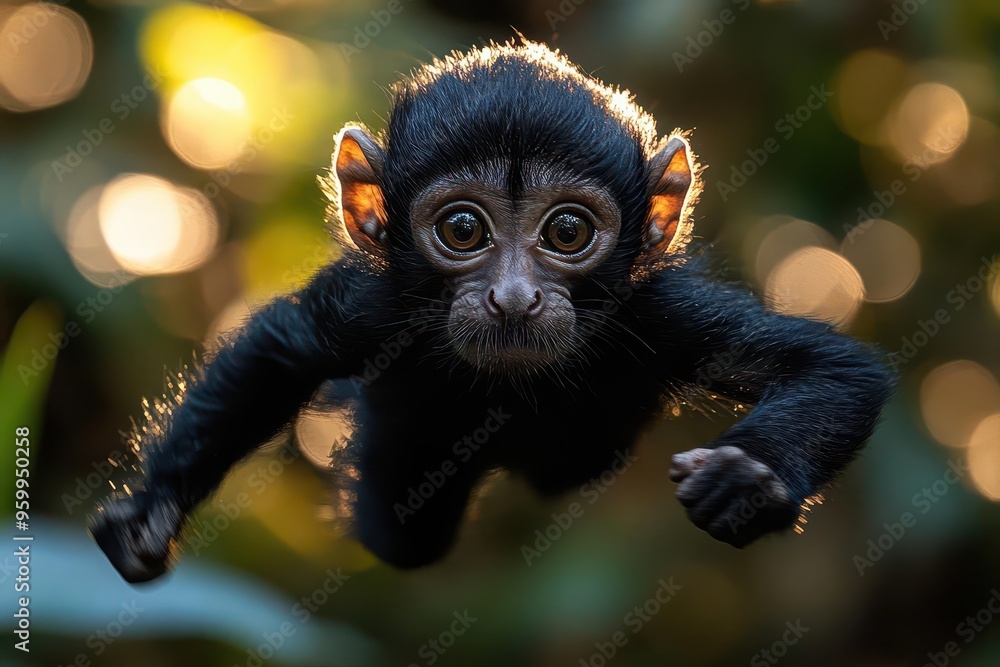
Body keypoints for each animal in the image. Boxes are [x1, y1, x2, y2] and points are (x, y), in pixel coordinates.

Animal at [90, 41, 895, 584]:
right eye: (462, 229)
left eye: (566, 232)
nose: (513, 296)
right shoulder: (375, 309)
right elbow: (277, 353)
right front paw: (151, 512)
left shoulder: (661, 308)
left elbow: (832, 368)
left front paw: (749, 481)